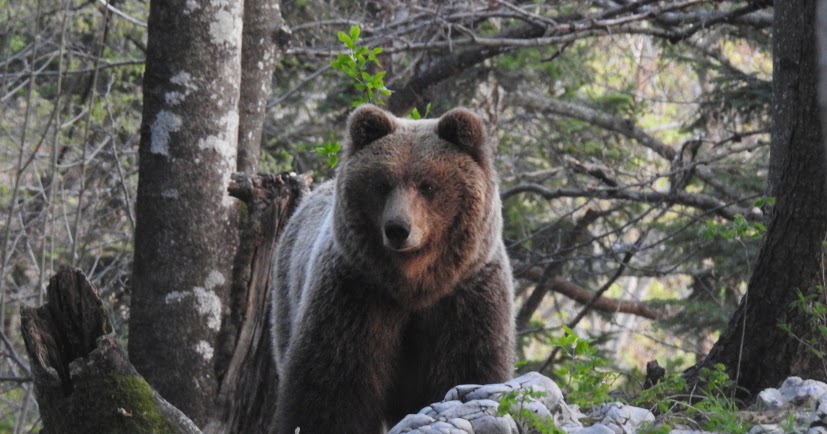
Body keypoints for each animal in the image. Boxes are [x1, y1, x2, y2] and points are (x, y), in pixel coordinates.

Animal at [270, 104, 515, 434]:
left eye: (428, 185)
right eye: (382, 184)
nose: (398, 228)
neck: (414, 284)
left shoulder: (465, 297)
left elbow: (468, 367)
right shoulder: (356, 295)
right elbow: (332, 385)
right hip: (287, 299)